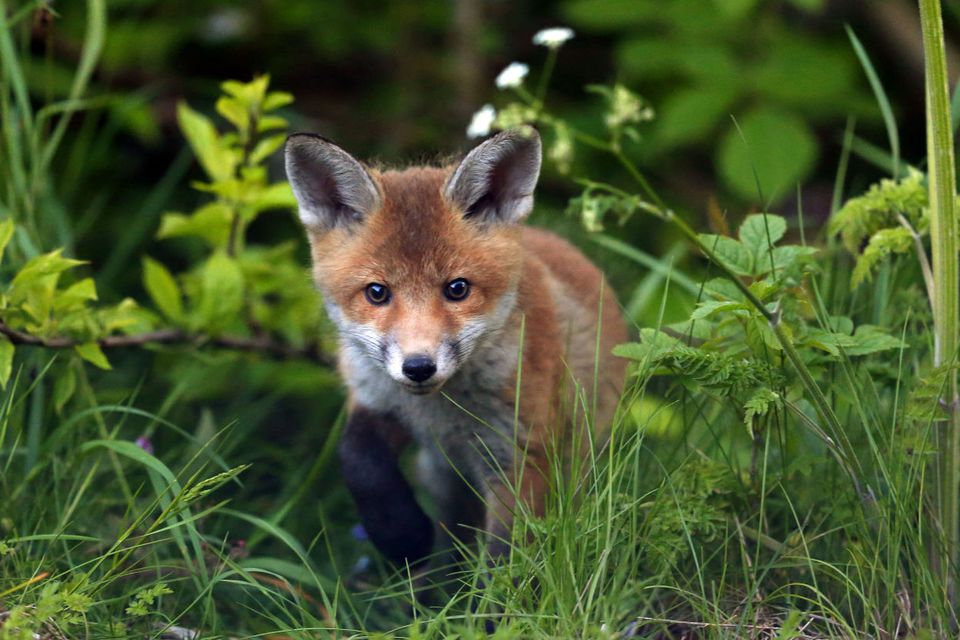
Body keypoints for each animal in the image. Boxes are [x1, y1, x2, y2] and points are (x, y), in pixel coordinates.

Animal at [284, 128, 628, 567]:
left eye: (457, 289)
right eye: (377, 293)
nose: (418, 367)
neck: (440, 413)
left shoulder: (521, 450)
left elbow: (506, 556)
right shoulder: (374, 399)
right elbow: (358, 459)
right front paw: (402, 535)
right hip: (443, 477)